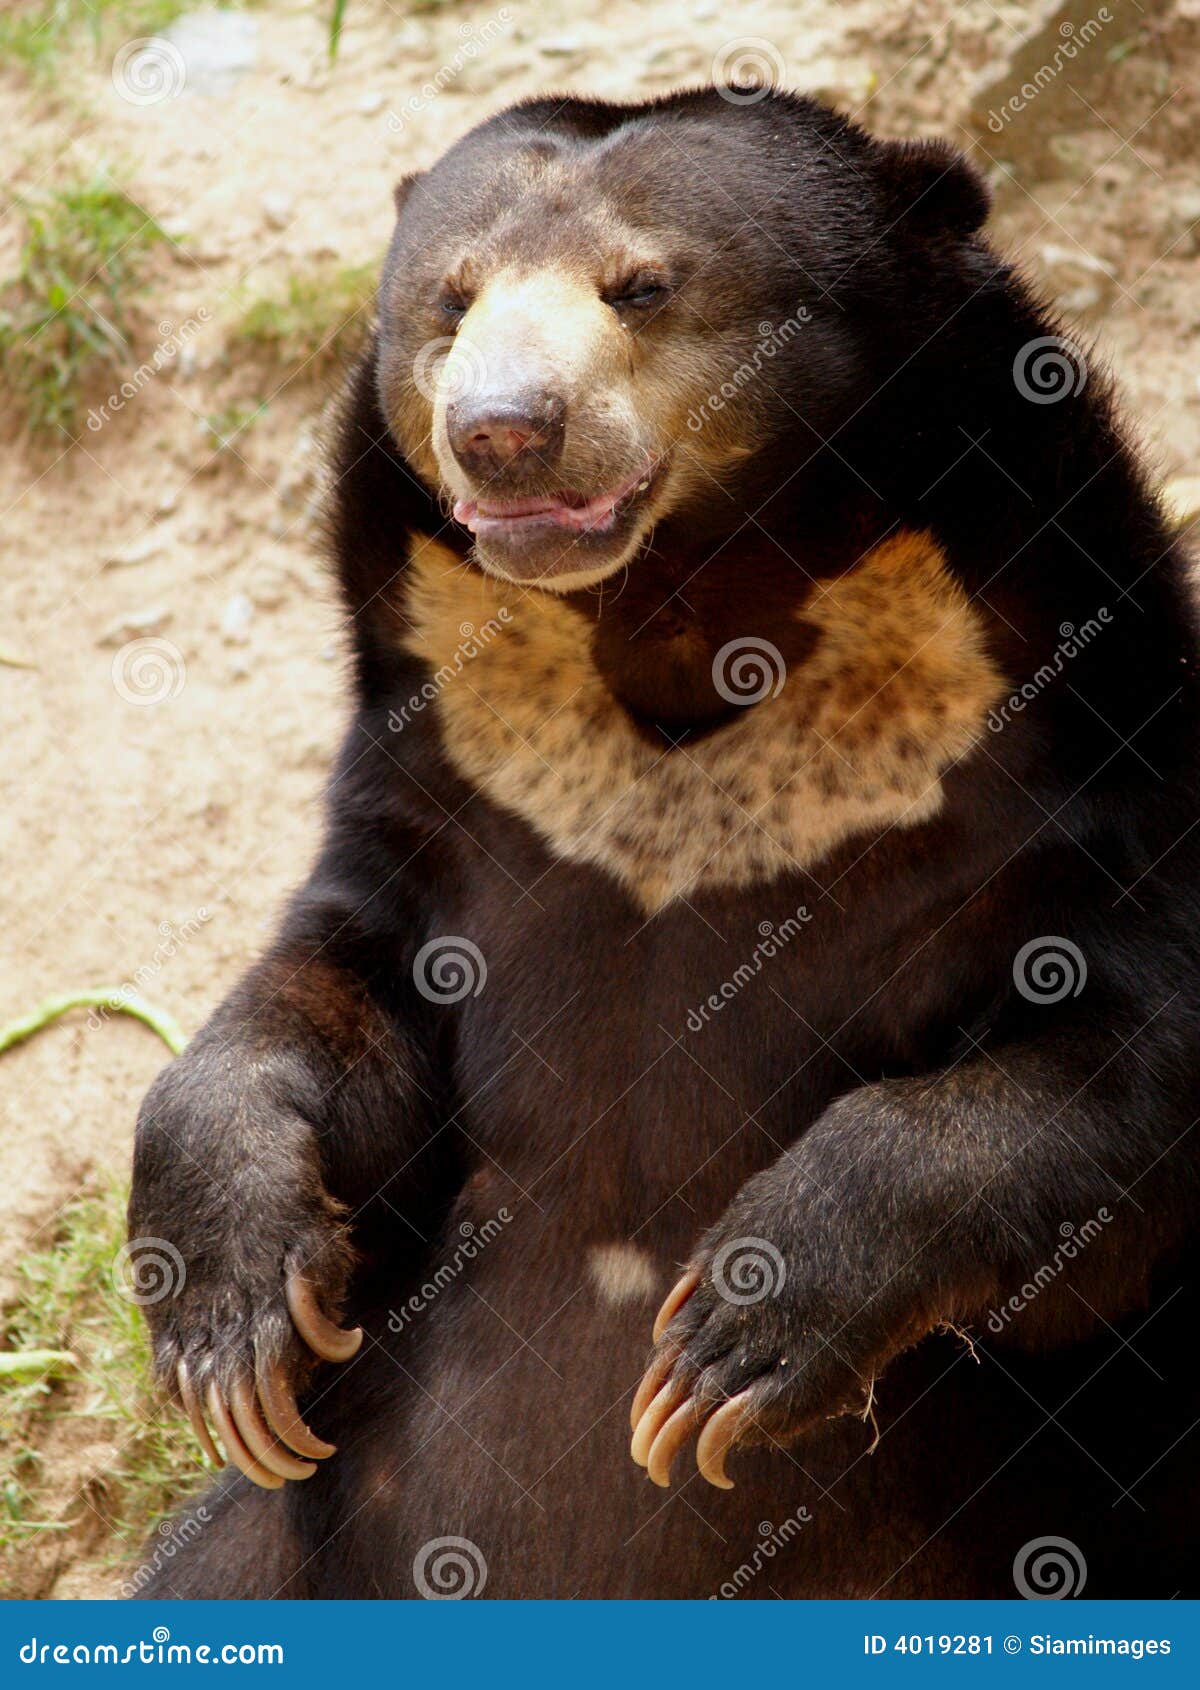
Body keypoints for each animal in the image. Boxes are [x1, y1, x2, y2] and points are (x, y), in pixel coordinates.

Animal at [127, 86, 1200, 1600]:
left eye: (641, 284)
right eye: (451, 300)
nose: (503, 431)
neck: (678, 621)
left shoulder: (1072, 776)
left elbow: (1118, 1073)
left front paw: (729, 1339)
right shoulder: (448, 791)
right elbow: (329, 999)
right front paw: (228, 1319)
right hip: (271, 1545)